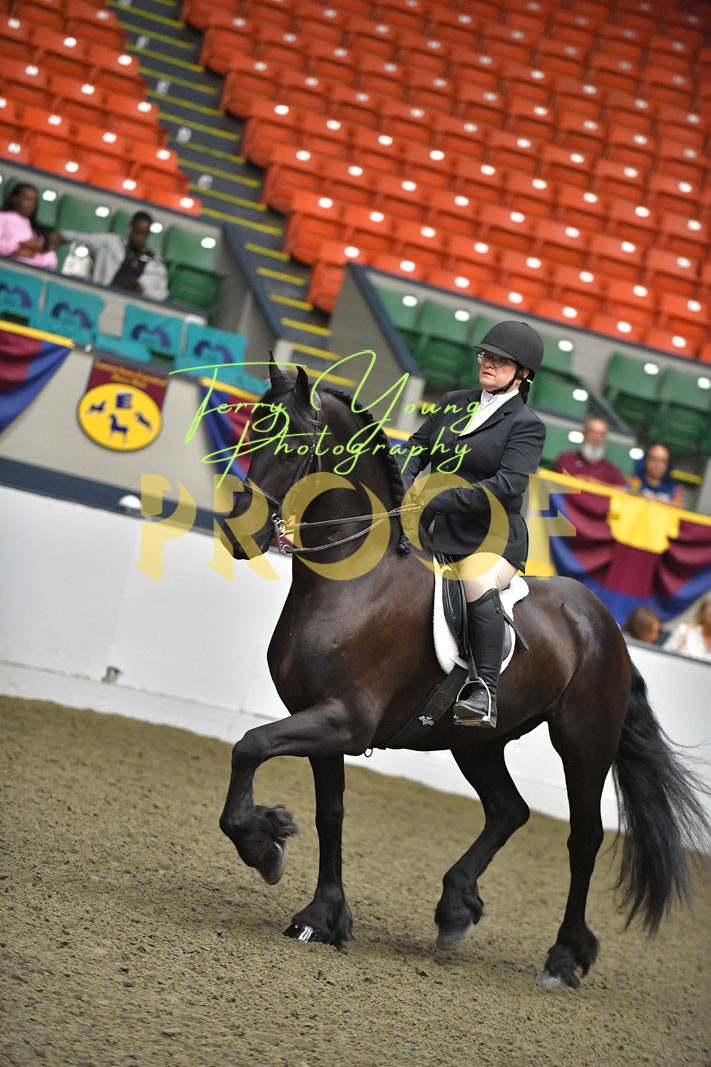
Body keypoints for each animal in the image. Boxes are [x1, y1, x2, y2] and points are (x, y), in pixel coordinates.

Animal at [218, 360, 708, 988]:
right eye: (249, 429)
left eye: (295, 445)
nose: (239, 536)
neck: (353, 584)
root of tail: (606, 624)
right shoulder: (322, 722)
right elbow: (330, 813)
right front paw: (320, 916)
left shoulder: (343, 720)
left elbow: (249, 746)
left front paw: (265, 844)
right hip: (475, 741)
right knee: (508, 810)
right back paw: (456, 909)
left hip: (585, 741)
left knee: (584, 838)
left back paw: (563, 957)